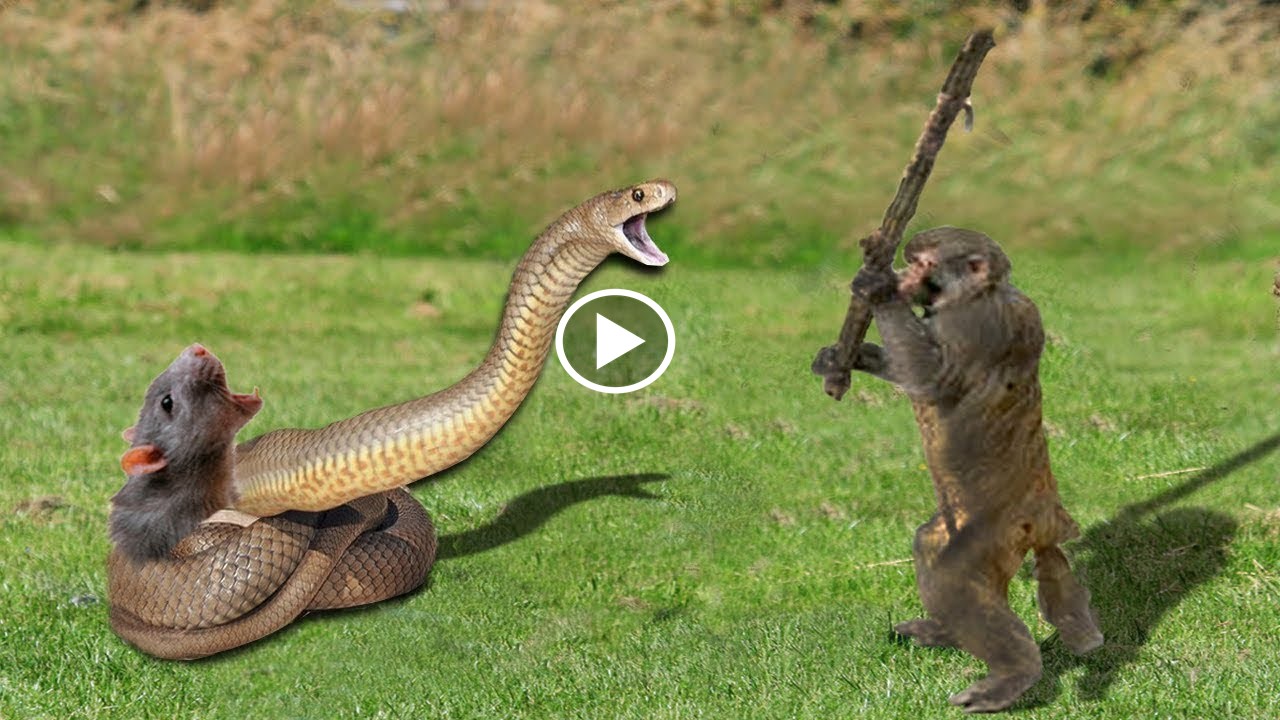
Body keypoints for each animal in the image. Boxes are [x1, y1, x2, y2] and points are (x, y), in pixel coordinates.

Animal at [848, 227, 1102, 713]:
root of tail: (1045, 517)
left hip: (1003, 527)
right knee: (933, 546)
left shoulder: (969, 324)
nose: (905, 277)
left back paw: (1015, 672)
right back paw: (950, 631)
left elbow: (929, 378)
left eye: (922, 264)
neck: (981, 293)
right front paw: (850, 356)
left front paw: (878, 288)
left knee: (953, 573)